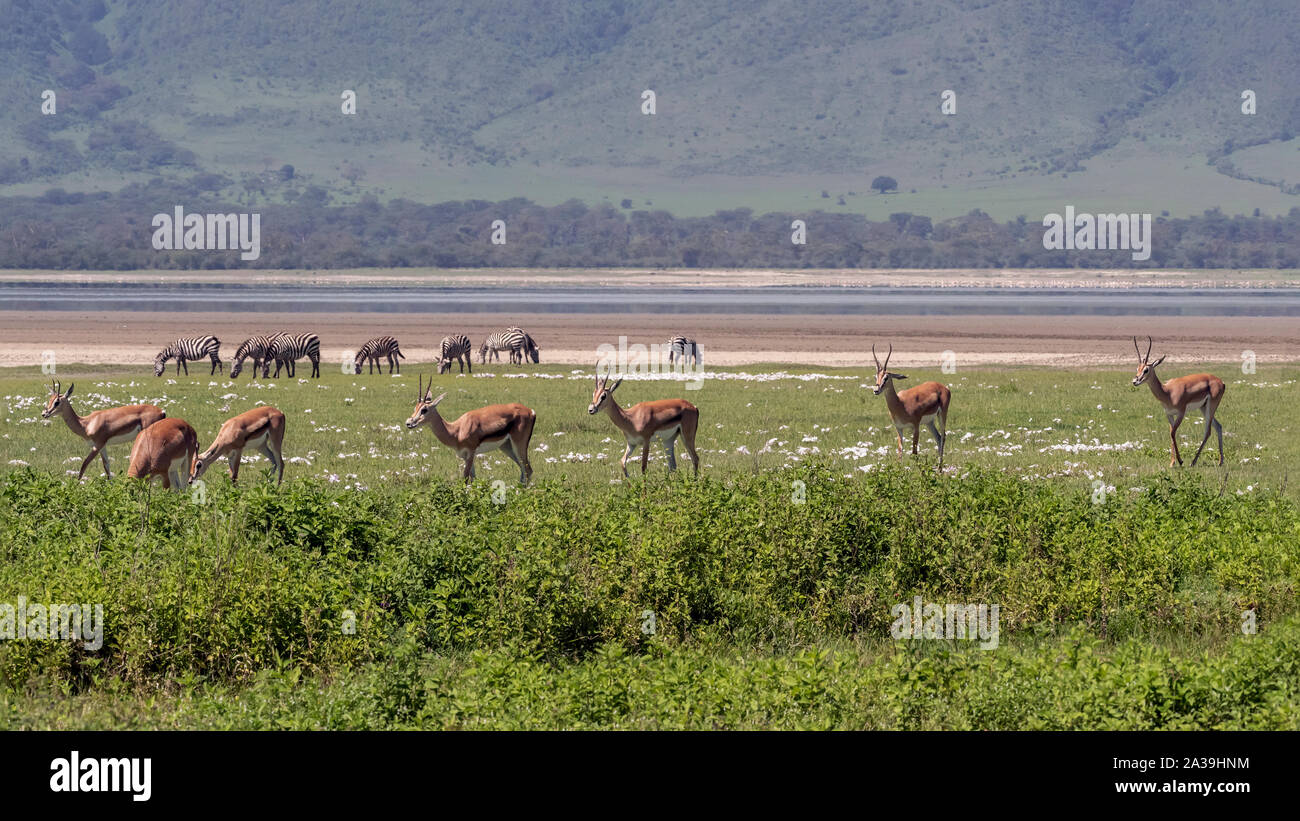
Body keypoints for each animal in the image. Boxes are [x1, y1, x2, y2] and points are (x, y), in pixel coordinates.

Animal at [405, 375, 536, 485]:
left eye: (424, 410)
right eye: (415, 408)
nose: (409, 423)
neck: (456, 430)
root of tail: (530, 411)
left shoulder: (471, 453)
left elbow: (465, 478)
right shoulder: (464, 456)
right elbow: (473, 479)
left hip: (519, 445)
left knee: (528, 469)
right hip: (506, 447)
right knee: (523, 470)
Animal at [1130, 336, 1226, 467]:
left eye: (1146, 370)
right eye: (1137, 368)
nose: (1135, 381)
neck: (1167, 392)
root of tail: (1221, 382)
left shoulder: (1181, 413)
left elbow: (1173, 433)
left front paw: (1180, 461)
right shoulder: (1169, 414)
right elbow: (1171, 433)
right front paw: (1172, 463)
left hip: (1210, 407)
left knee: (1208, 431)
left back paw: (1193, 462)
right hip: (1203, 407)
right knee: (1218, 426)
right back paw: (1221, 462)